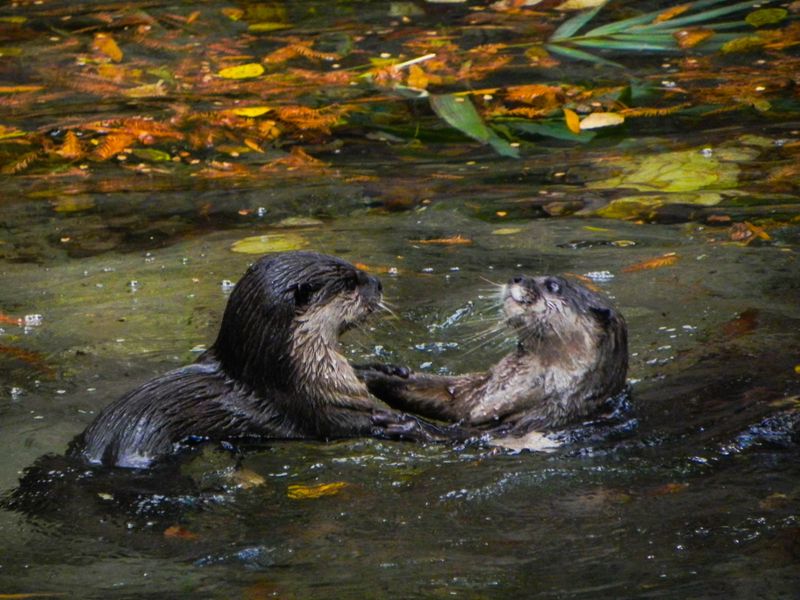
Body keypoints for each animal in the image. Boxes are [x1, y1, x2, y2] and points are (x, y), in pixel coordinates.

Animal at [69, 251, 457, 469]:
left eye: (354, 269)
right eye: (350, 283)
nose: (378, 283)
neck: (300, 375)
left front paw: (388, 370)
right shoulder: (319, 408)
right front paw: (405, 425)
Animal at [358, 275, 628, 437]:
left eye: (553, 285)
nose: (517, 277)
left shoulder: (542, 419)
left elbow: (465, 435)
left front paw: (409, 425)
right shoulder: (479, 390)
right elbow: (445, 394)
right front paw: (376, 372)